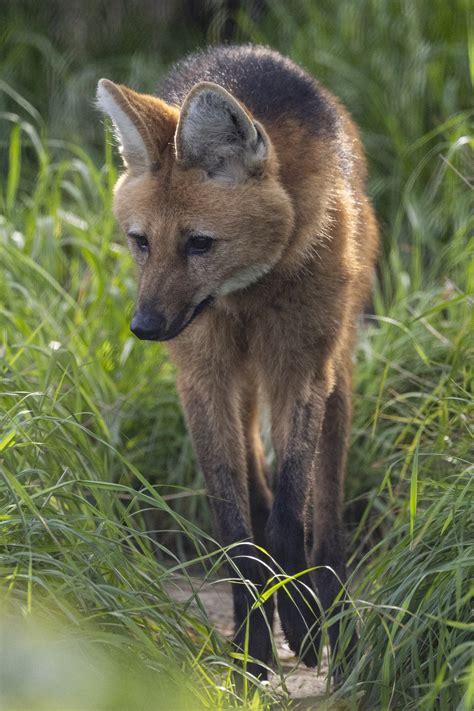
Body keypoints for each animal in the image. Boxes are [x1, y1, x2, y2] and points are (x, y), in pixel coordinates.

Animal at [96, 44, 378, 680]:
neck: (247, 295)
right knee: (254, 480)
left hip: (333, 372)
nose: (144, 328)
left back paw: (336, 616)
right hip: (236, 383)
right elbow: (235, 527)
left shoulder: (301, 368)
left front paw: (302, 624)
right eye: (141, 242)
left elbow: (291, 511)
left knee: (325, 509)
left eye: (199, 244)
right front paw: (252, 646)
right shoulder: (202, 378)